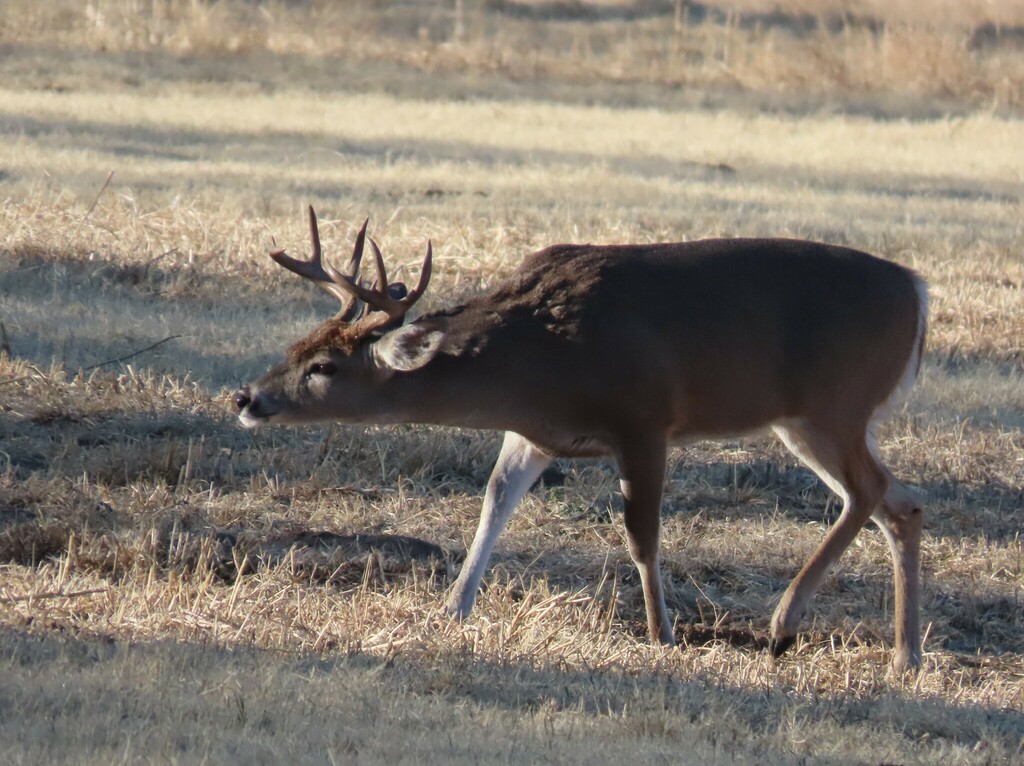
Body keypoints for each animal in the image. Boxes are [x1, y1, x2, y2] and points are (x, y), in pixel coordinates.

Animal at [234, 207, 928, 672]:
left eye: (324, 367)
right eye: (295, 347)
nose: (247, 398)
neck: (537, 356)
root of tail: (918, 291)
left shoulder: (645, 418)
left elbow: (641, 536)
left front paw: (661, 634)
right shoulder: (536, 434)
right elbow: (494, 503)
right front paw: (452, 609)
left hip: (834, 404)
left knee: (869, 493)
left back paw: (785, 625)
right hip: (812, 420)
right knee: (902, 504)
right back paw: (905, 656)